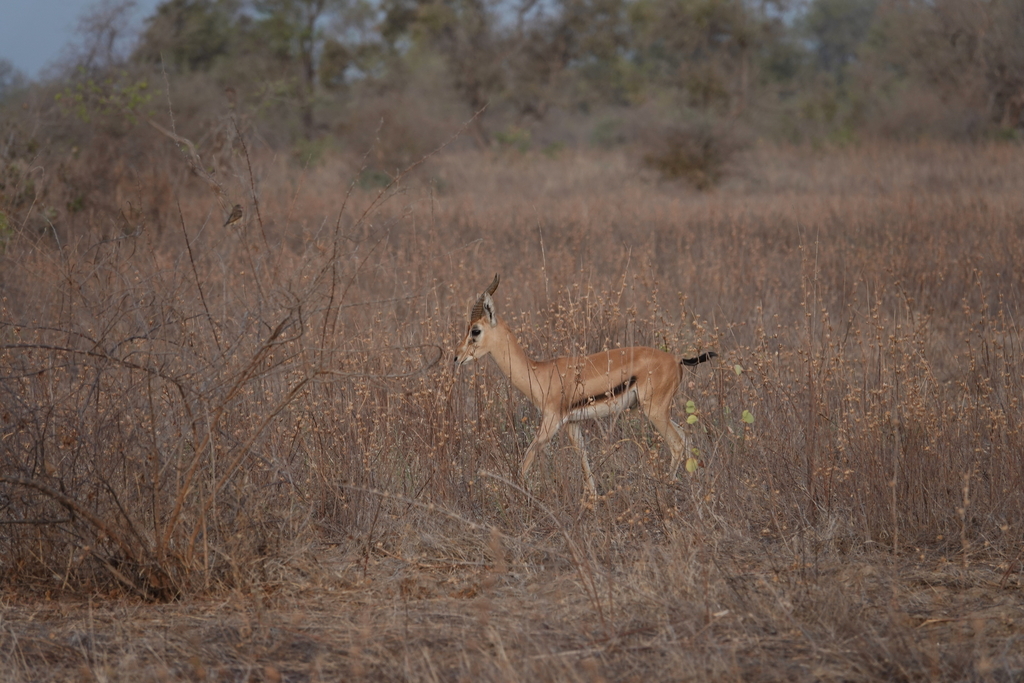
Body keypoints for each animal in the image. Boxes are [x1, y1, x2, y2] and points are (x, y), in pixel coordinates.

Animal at [453, 275, 716, 497]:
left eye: (475, 330)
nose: (456, 357)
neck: (540, 373)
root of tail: (677, 359)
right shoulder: (572, 424)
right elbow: (584, 461)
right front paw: (593, 501)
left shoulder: (551, 422)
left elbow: (525, 462)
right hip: (659, 411)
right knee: (687, 437)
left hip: (655, 411)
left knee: (677, 443)